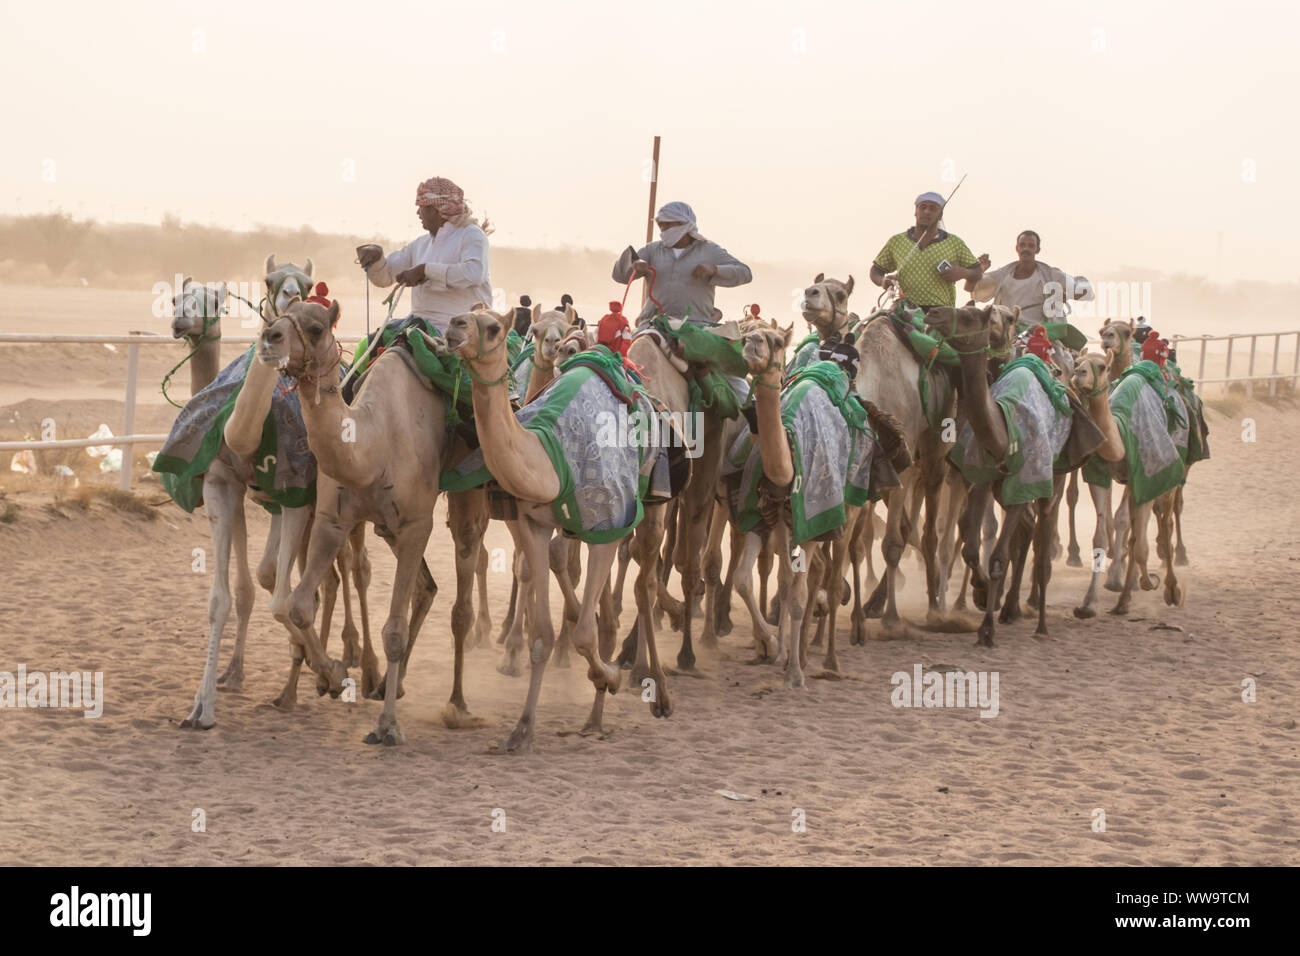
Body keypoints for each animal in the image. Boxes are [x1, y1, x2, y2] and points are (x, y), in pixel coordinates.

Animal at [258, 298, 488, 745]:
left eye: (316, 328)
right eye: (275, 318)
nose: (269, 339)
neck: (371, 445)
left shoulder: (417, 524)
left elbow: (393, 630)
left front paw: (387, 726)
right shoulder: (333, 519)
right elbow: (298, 605)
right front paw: (332, 675)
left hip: (466, 497)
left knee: (462, 591)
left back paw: (457, 705)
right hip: (385, 527)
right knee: (426, 588)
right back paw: (387, 685)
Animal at [446, 306, 670, 751]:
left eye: (493, 327)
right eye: (530, 330)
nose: (454, 327)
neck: (548, 457)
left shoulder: (607, 525)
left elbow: (585, 633)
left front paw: (610, 676)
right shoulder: (532, 524)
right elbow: (543, 635)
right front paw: (522, 728)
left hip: (653, 502)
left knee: (645, 584)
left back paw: (655, 690)